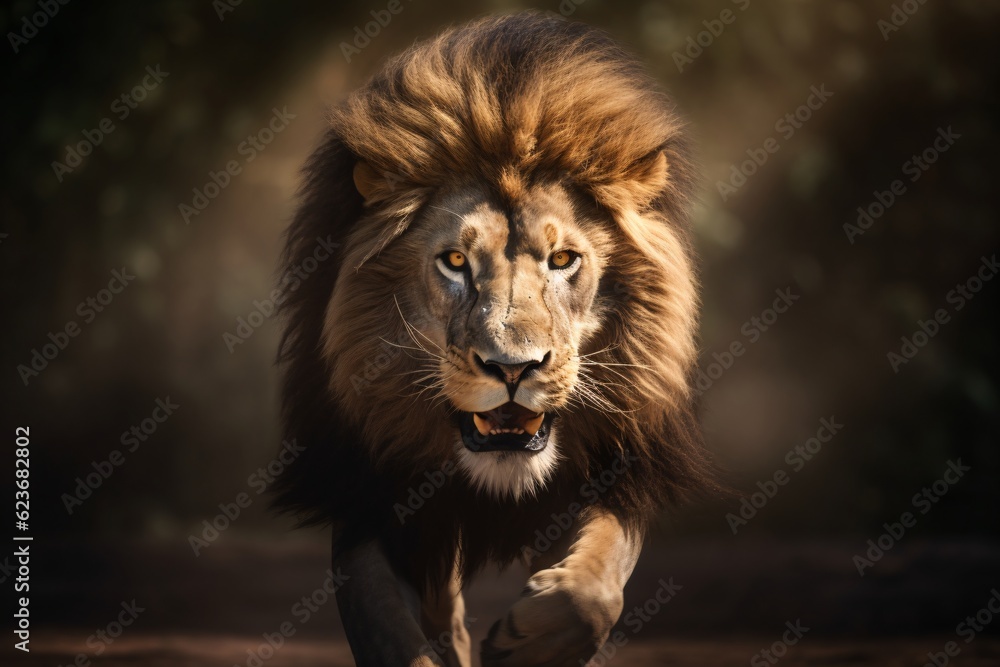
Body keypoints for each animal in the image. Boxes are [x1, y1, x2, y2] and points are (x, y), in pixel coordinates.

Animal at [272, 12, 716, 667]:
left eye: (563, 259)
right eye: (455, 261)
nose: (512, 368)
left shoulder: (618, 463)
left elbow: (595, 587)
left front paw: (532, 643)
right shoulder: (365, 490)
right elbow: (390, 629)